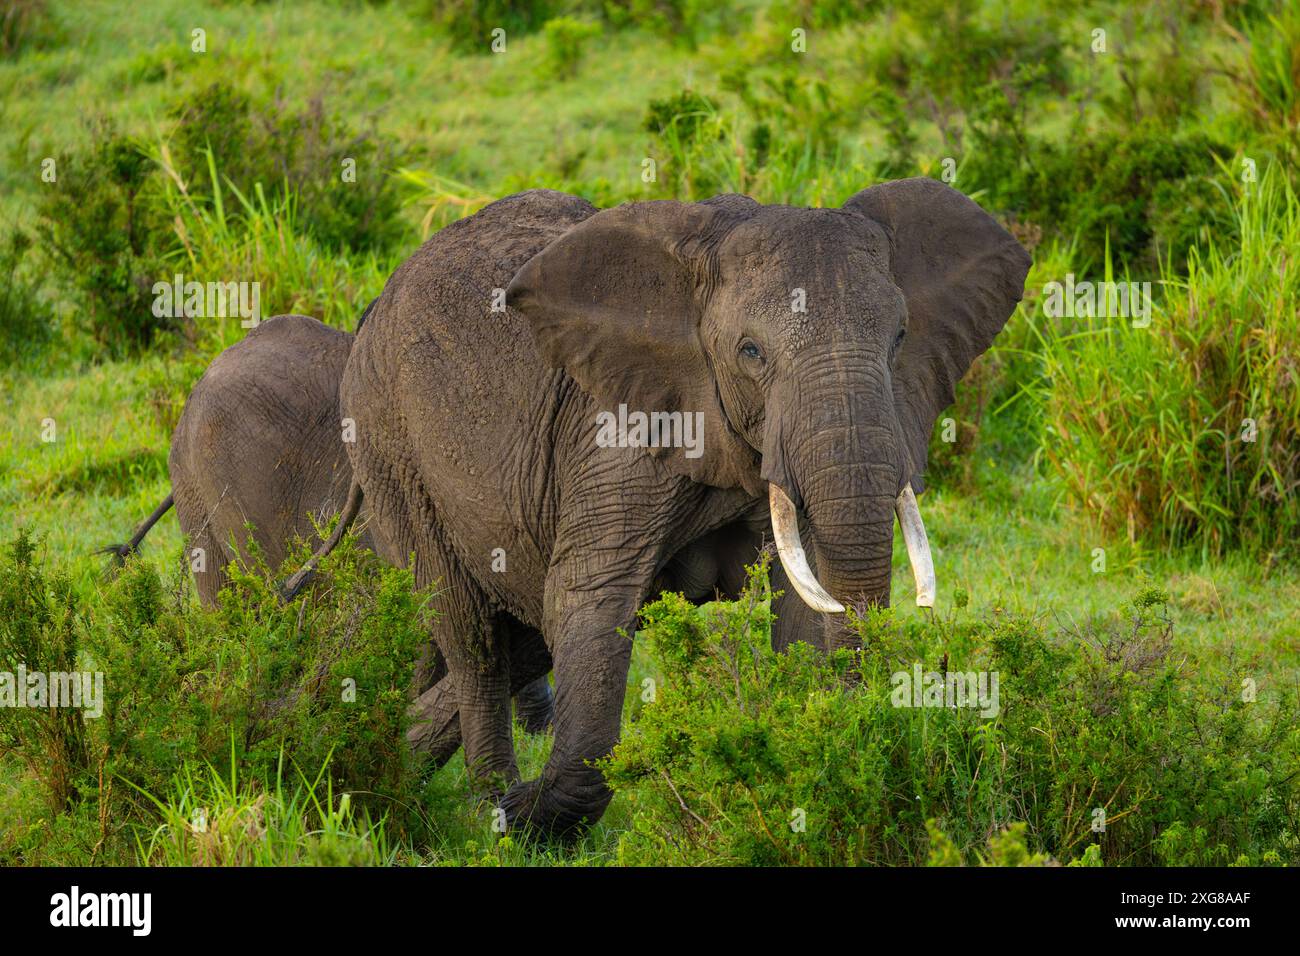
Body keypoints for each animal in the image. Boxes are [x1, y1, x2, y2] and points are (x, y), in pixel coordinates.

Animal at [287, 179, 1030, 837]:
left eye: (901, 338)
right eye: (750, 352)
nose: (859, 726)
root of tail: (376, 302)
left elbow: (799, 601)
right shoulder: (615, 435)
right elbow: (589, 597)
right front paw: (530, 817)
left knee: (513, 638)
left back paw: (350, 755)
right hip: (386, 440)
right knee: (471, 636)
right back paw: (483, 806)